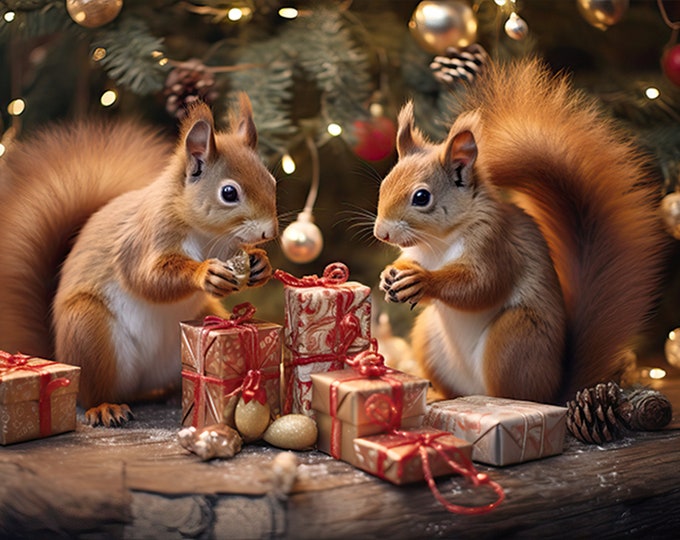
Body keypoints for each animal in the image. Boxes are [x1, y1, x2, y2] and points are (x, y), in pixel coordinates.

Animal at [0, 95, 278, 426]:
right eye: (228, 192)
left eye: (272, 180)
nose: (270, 231)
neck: (208, 235)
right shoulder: (145, 239)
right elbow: (148, 279)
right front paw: (203, 273)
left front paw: (261, 264)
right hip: (88, 330)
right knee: (91, 391)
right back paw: (105, 407)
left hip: (199, 319)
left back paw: (173, 393)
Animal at [374, 58, 667, 404]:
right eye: (383, 185)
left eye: (421, 197)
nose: (381, 234)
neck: (437, 243)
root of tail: (556, 391)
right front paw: (389, 275)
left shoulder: (495, 244)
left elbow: (481, 284)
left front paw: (423, 280)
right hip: (428, 337)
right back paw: (438, 397)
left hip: (516, 338)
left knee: (512, 392)